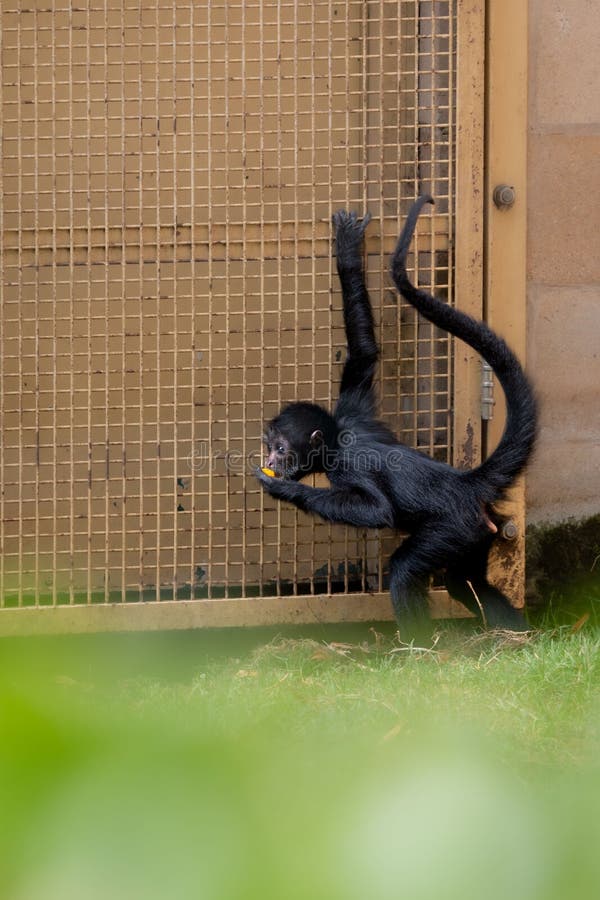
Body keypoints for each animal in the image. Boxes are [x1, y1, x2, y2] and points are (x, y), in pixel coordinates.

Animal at [256, 198, 537, 633]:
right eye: (269, 444)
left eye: (281, 449)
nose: (270, 459)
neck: (340, 439)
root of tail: (467, 484)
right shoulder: (352, 409)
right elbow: (365, 352)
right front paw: (347, 249)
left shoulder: (350, 465)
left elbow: (377, 510)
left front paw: (284, 490)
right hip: (477, 530)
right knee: (465, 582)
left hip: (452, 527)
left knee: (407, 567)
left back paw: (418, 644)